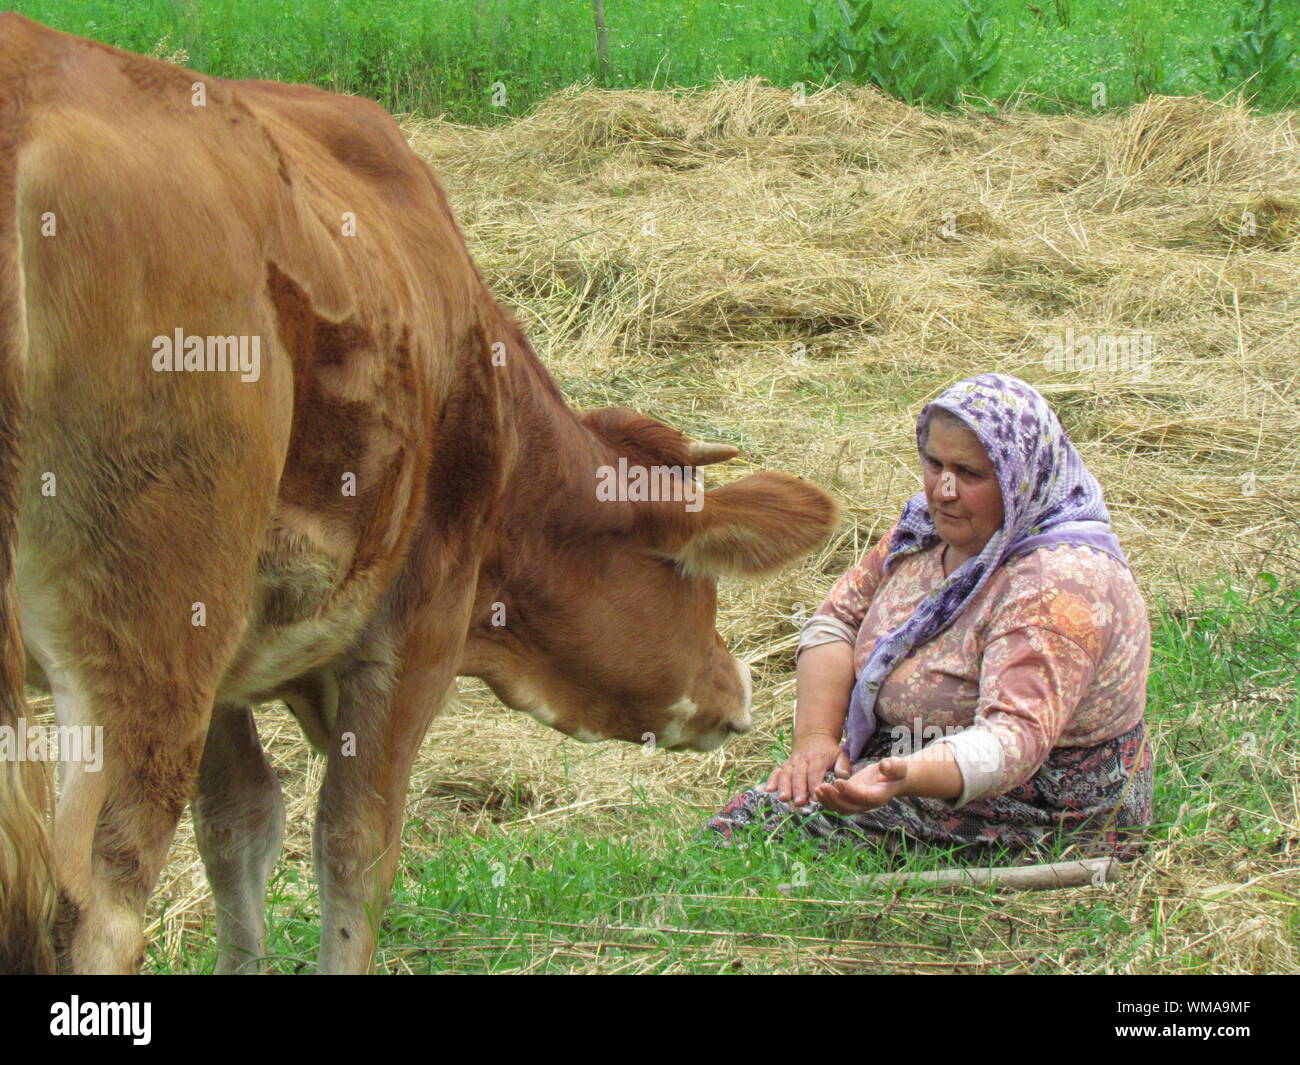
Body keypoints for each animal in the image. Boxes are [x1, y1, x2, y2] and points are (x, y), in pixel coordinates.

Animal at [0, 14, 837, 974]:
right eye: (694, 581)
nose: (737, 683)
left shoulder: (230, 668)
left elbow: (239, 827)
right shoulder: (414, 632)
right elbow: (354, 847)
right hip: (147, 629)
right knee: (96, 907)